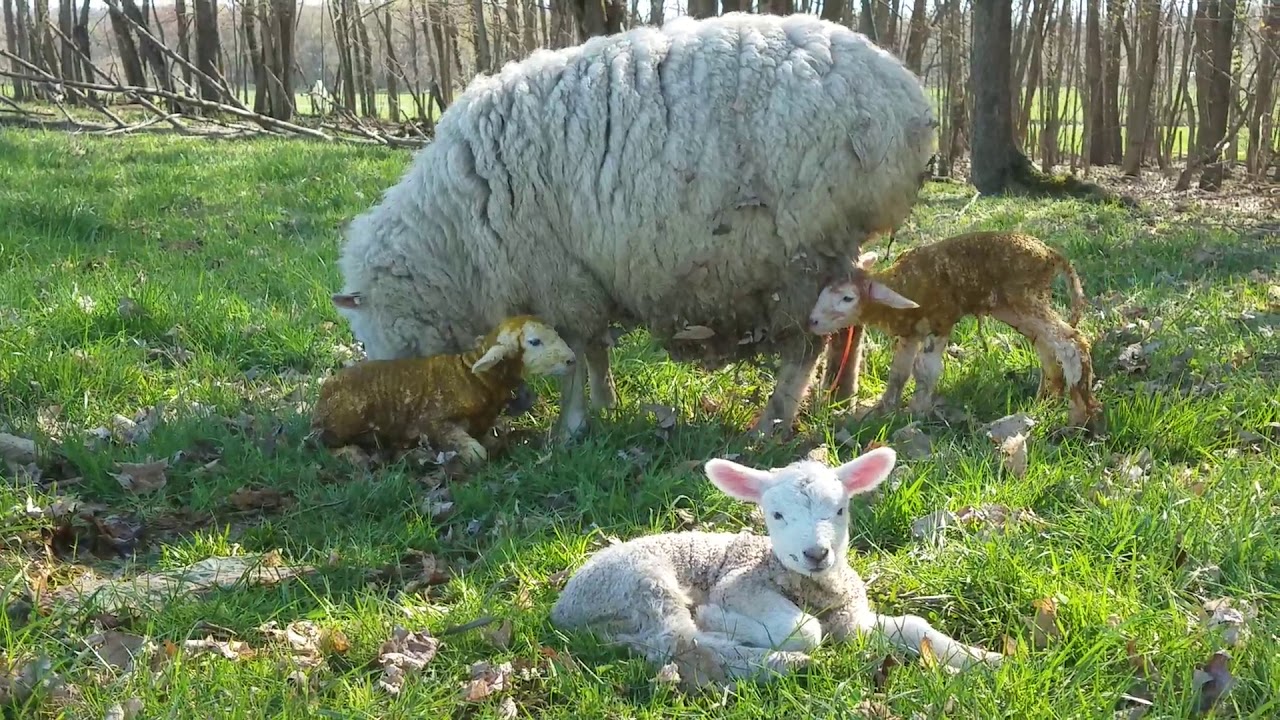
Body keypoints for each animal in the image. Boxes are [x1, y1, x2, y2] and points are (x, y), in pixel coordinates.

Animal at [309, 315, 576, 464]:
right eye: (534, 341)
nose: (571, 360)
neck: (472, 376)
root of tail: (323, 394)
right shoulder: (434, 422)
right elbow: (476, 453)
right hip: (344, 419)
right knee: (319, 444)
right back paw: (355, 456)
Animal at [329, 12, 938, 443]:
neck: (455, 233)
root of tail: (907, 101)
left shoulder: (559, 276)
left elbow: (575, 353)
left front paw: (572, 424)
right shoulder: (584, 278)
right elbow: (595, 350)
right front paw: (605, 406)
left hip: (801, 253)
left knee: (802, 347)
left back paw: (773, 423)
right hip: (832, 247)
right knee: (850, 311)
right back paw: (841, 394)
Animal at [549, 446, 1004, 688]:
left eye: (840, 509)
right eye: (777, 515)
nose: (816, 554)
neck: (812, 587)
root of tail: (562, 610)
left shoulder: (851, 618)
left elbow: (913, 627)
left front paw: (985, 659)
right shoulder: (739, 585)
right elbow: (806, 630)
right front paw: (725, 618)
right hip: (642, 584)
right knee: (682, 641)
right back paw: (777, 659)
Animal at [806, 230, 1104, 431]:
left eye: (847, 298)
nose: (812, 322)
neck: (905, 285)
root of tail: (1051, 254)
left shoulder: (940, 321)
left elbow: (925, 371)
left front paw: (916, 413)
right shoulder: (911, 333)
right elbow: (898, 374)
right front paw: (884, 410)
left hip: (1025, 296)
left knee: (1072, 343)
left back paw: (1080, 417)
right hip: (1014, 306)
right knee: (1046, 345)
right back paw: (1047, 399)